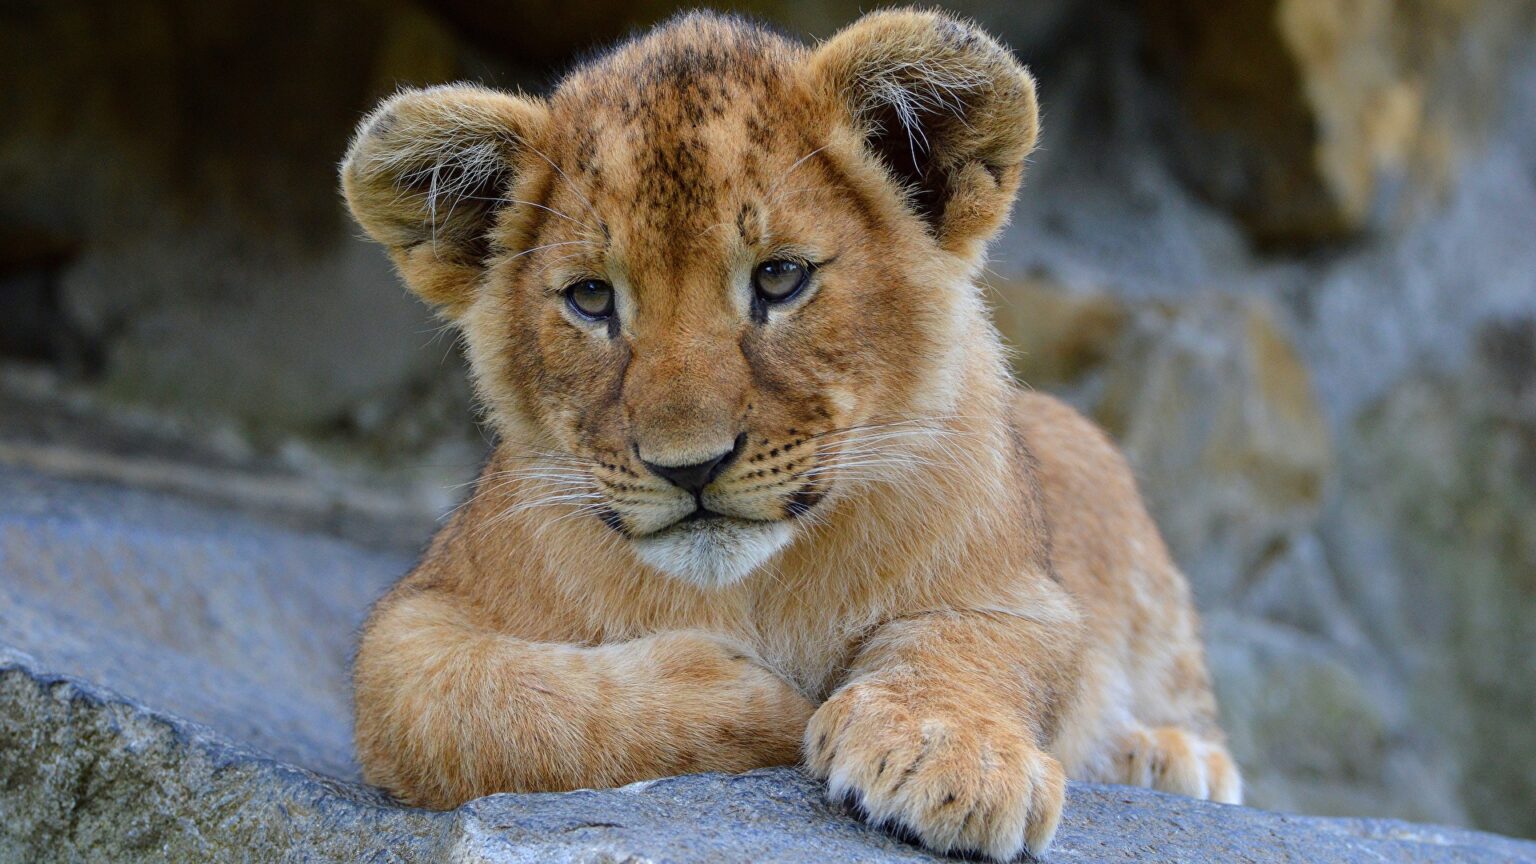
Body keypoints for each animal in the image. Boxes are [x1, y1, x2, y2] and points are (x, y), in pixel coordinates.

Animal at [339, 9, 1240, 860]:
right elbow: (490, 708)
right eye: (592, 298)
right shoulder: (412, 626)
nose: (690, 468)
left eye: (779, 277)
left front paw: (949, 753)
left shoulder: (1026, 592)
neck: (755, 590)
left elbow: (973, 644)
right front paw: (764, 701)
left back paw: (1172, 760)